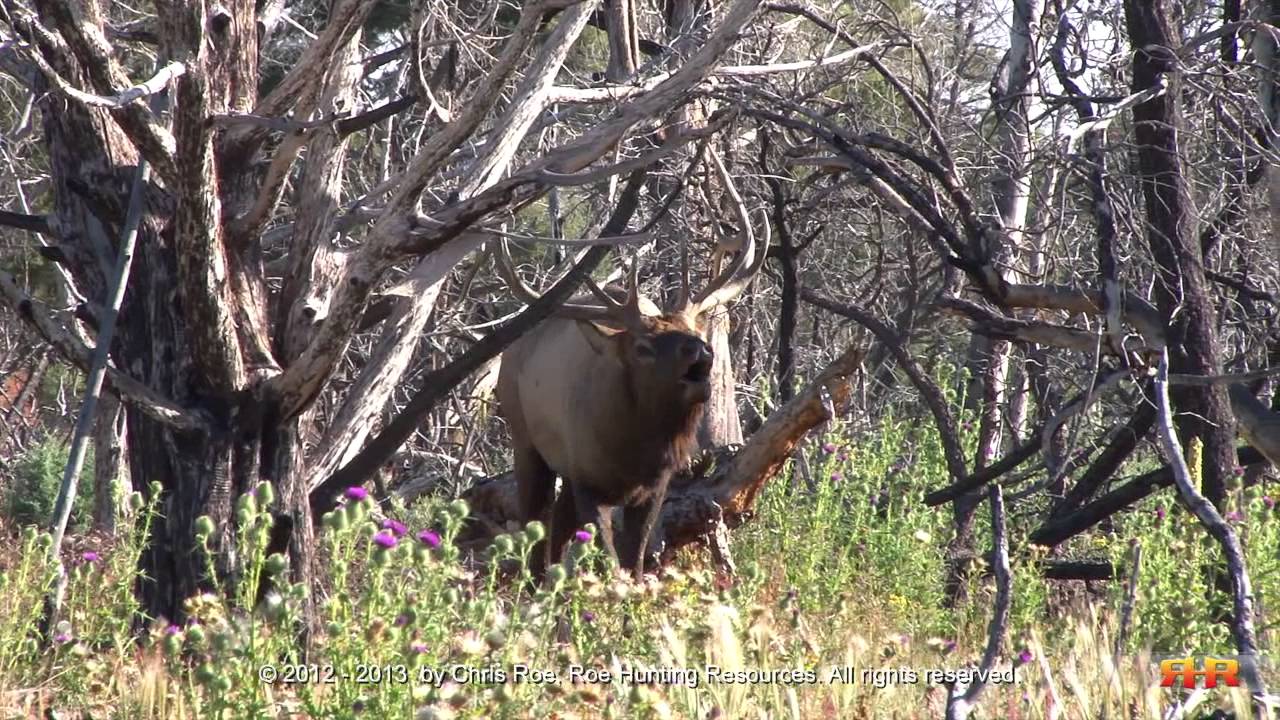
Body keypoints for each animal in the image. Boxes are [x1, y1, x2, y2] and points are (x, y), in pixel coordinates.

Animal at [494, 175, 768, 581]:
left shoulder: (657, 486)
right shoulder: (588, 480)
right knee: (535, 524)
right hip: (525, 441)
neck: (636, 450)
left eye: (695, 330)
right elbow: (609, 559)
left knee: (555, 528)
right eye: (642, 347)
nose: (700, 350)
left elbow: (635, 559)